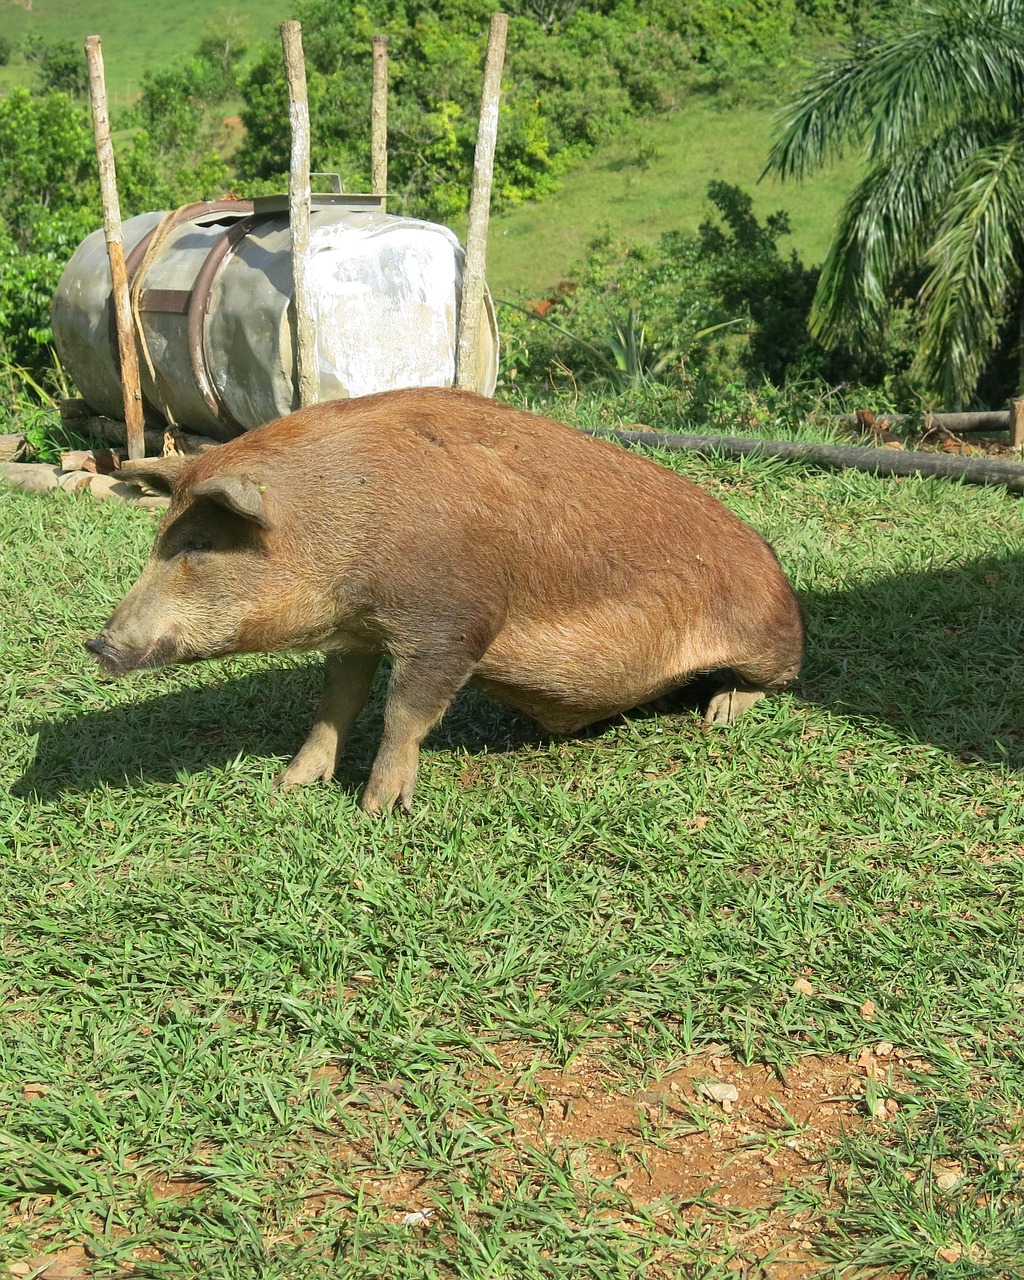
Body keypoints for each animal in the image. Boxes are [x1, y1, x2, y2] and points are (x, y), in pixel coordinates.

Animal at [86, 387, 804, 813]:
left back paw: (721, 715)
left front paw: (377, 811)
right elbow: (337, 704)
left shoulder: (452, 622)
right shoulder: (357, 633)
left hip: (768, 639)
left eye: (199, 545)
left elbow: (405, 713)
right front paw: (288, 785)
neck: (342, 521)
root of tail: (775, 567)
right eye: (161, 536)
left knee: (780, 678)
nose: (98, 643)